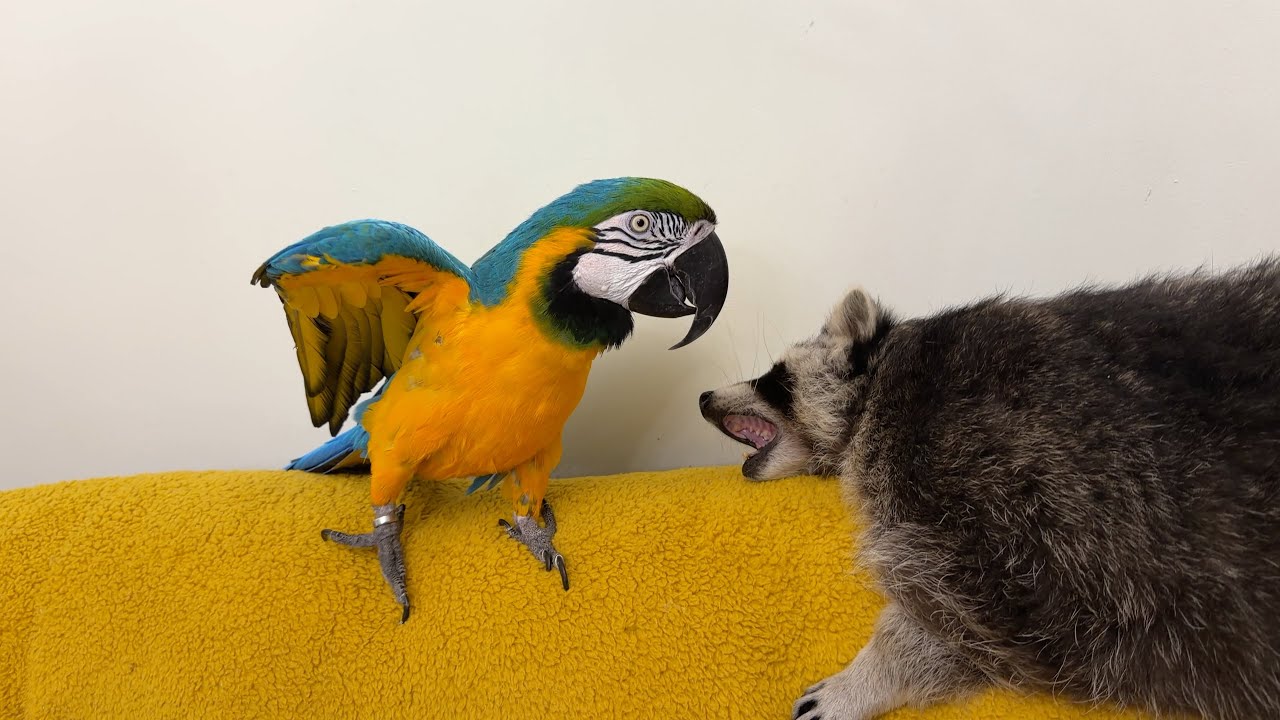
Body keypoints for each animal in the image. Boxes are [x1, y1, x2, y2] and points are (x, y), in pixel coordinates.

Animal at [699, 259, 1280, 720]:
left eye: (775, 378)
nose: (703, 397)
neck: (875, 393)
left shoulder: (992, 475)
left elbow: (1009, 621)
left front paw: (874, 675)